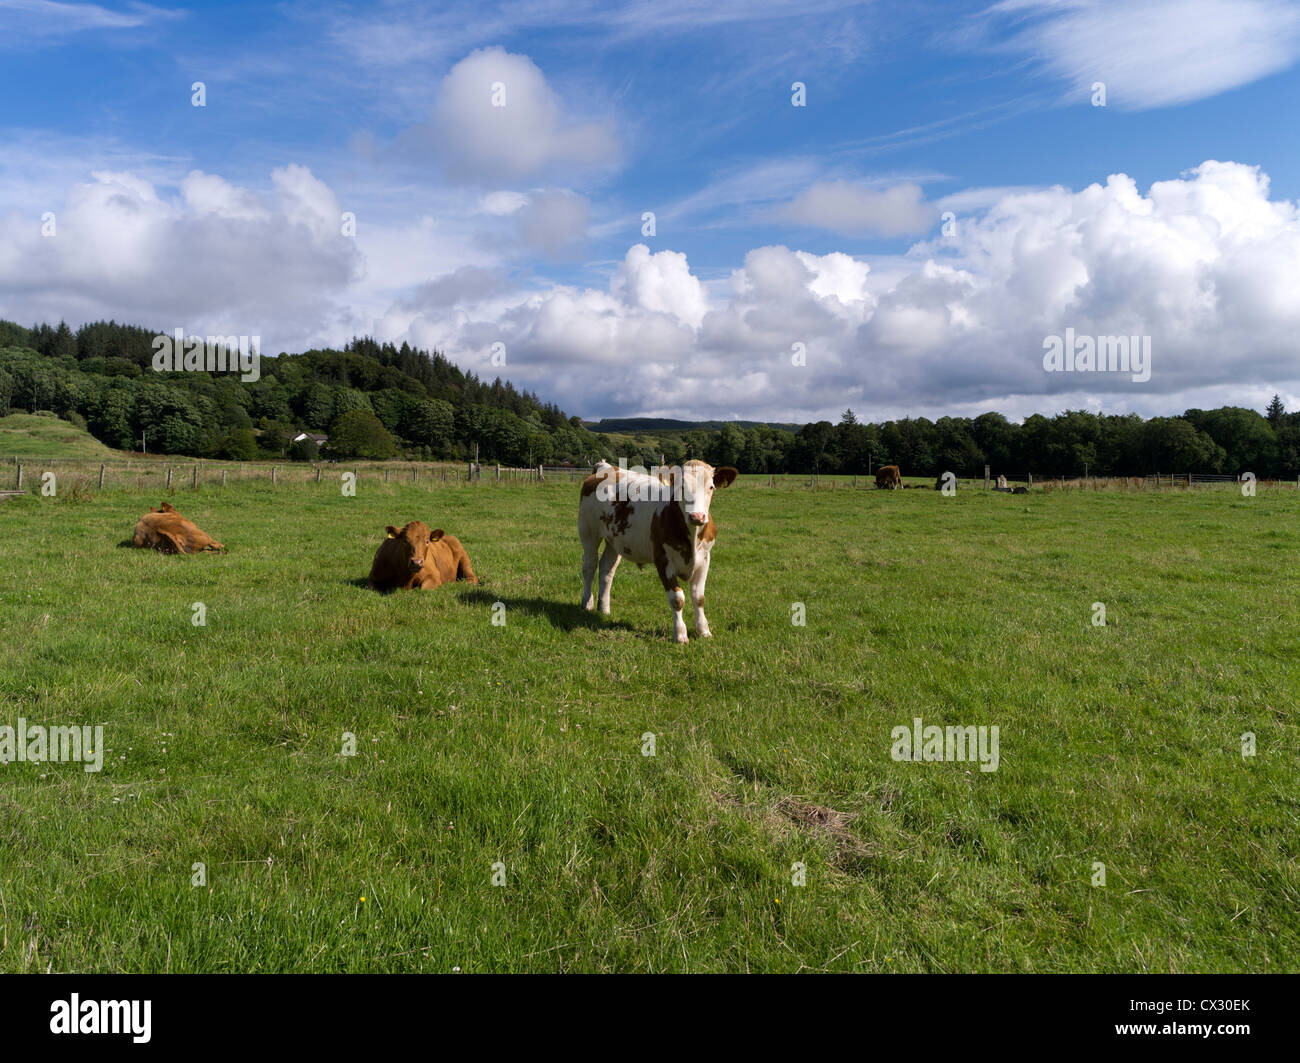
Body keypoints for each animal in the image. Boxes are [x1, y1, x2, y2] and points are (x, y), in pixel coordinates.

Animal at [579, 459, 738, 642]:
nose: (697, 516)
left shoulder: (705, 559)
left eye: (711, 487)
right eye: (681, 487)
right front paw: (680, 634)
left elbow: (699, 597)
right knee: (590, 566)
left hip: (614, 540)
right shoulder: (663, 560)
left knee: (607, 569)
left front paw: (704, 631)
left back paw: (604, 608)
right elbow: (677, 599)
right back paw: (587, 603)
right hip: (588, 531)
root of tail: (607, 467)